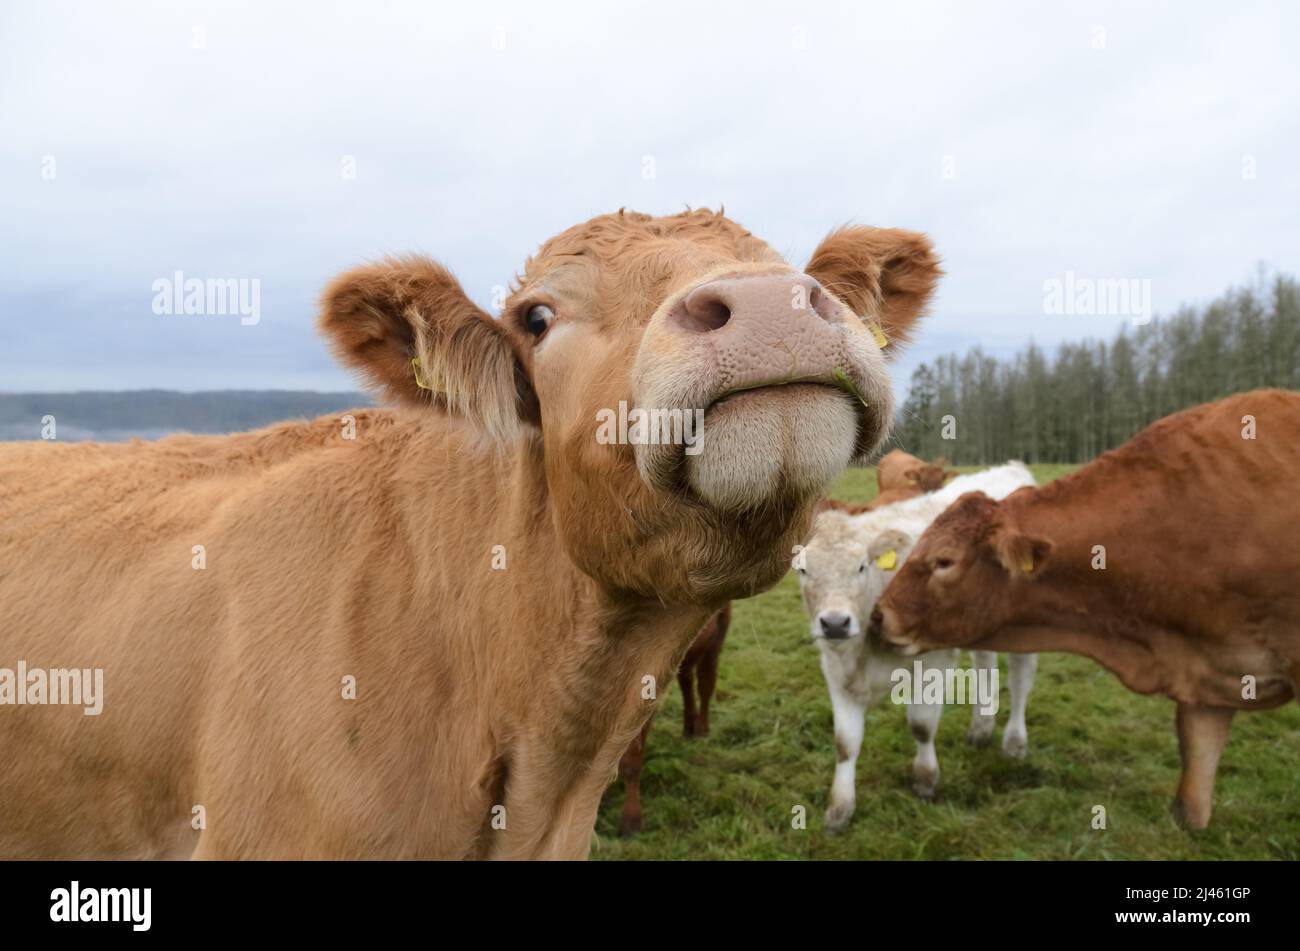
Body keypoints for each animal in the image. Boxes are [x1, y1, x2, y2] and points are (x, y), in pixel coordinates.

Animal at [615, 603, 730, 836]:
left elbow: (631, 759)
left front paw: (631, 819)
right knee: (686, 678)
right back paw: (688, 727)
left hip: (718, 634)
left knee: (706, 682)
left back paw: (702, 728)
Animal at [799, 463, 1038, 831]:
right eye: (802, 569)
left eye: (861, 566)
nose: (835, 623)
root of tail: (1012, 468)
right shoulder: (836, 670)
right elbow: (845, 743)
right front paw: (840, 809)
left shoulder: (933, 661)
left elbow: (922, 725)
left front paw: (925, 781)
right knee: (985, 664)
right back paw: (980, 729)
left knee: (1020, 678)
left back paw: (1014, 743)